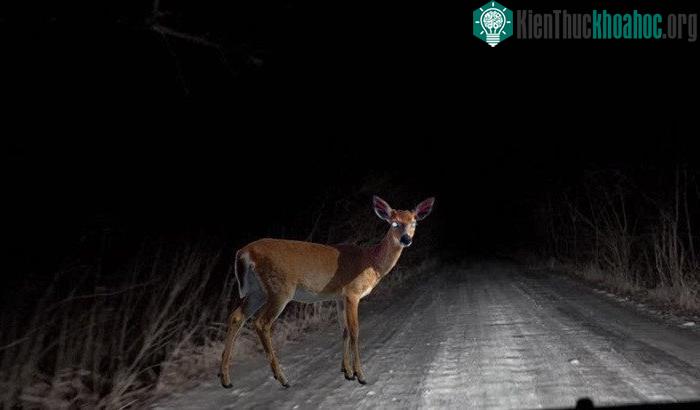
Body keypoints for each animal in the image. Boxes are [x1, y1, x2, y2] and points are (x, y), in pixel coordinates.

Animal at [219, 195, 434, 388]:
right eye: (394, 223)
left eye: (414, 222)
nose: (406, 239)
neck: (371, 262)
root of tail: (245, 252)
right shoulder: (352, 292)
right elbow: (355, 331)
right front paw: (360, 375)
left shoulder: (339, 296)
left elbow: (344, 330)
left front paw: (347, 371)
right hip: (280, 289)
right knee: (261, 323)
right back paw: (282, 378)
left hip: (257, 291)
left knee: (236, 316)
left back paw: (225, 378)